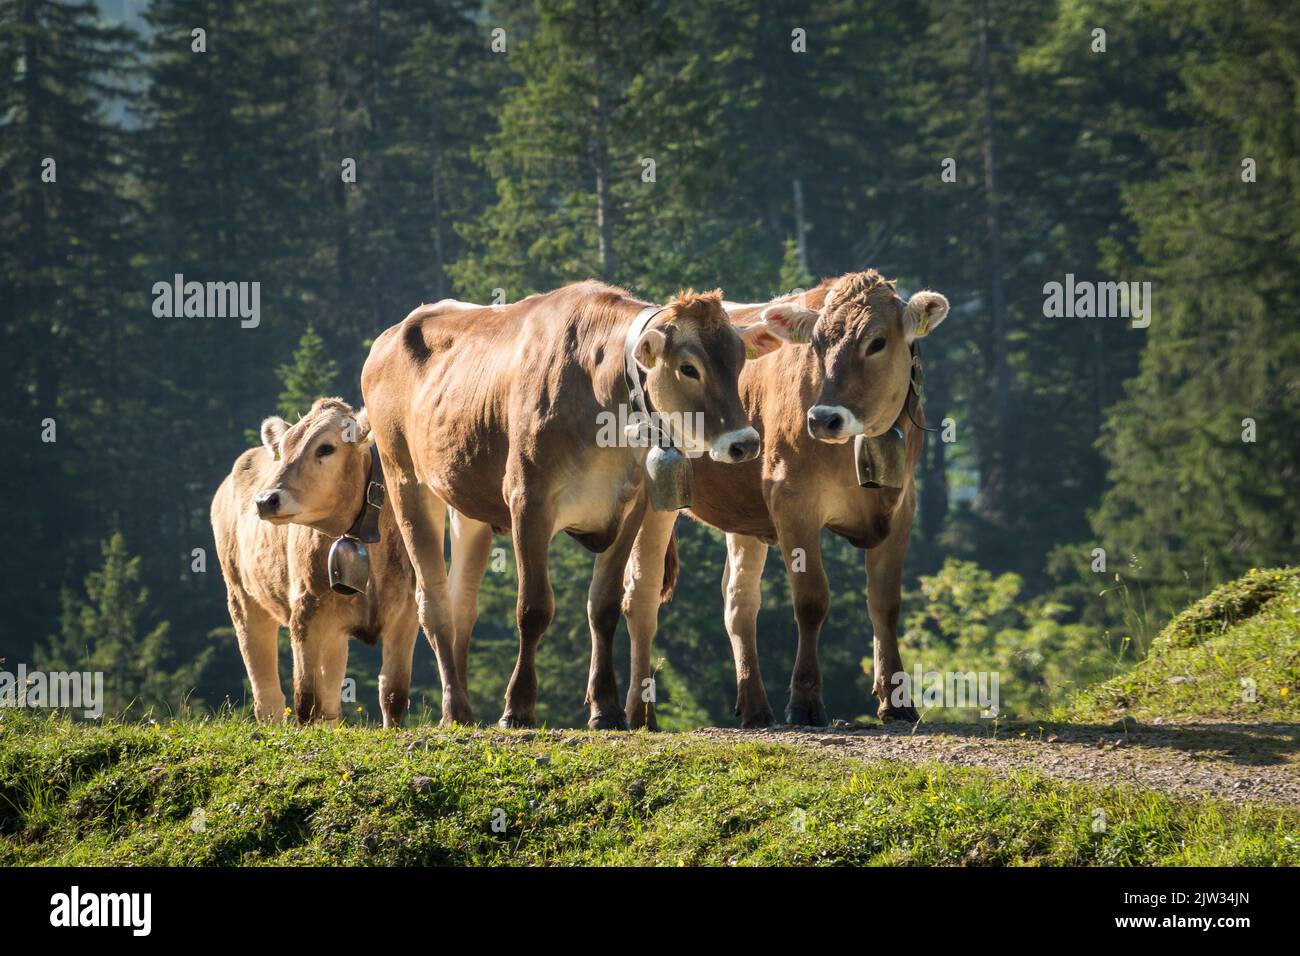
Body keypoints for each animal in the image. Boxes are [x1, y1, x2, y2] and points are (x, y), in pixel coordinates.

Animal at [211, 397, 418, 728]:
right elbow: (306, 700)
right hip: (242, 598)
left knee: (331, 698)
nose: (266, 500)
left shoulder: (406, 613)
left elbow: (393, 694)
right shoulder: (306, 614)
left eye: (326, 448)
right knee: (268, 695)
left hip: (335, 633)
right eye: (284, 447)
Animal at [360, 280, 786, 728]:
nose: (745, 443)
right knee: (434, 601)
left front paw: (606, 708)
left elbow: (604, 607)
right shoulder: (528, 500)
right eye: (689, 367)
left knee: (462, 603)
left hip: (464, 498)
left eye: (738, 361)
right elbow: (533, 608)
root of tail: (391, 335)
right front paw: (518, 707)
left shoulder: (631, 505)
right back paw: (456, 708)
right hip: (406, 480)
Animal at [620, 270, 950, 729]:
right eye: (816, 345)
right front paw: (805, 701)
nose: (824, 418)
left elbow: (886, 603)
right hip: (656, 499)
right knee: (642, 595)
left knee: (739, 601)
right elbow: (811, 598)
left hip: (743, 517)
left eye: (877, 342)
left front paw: (896, 699)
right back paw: (639, 714)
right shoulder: (792, 499)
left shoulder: (902, 506)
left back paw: (754, 705)